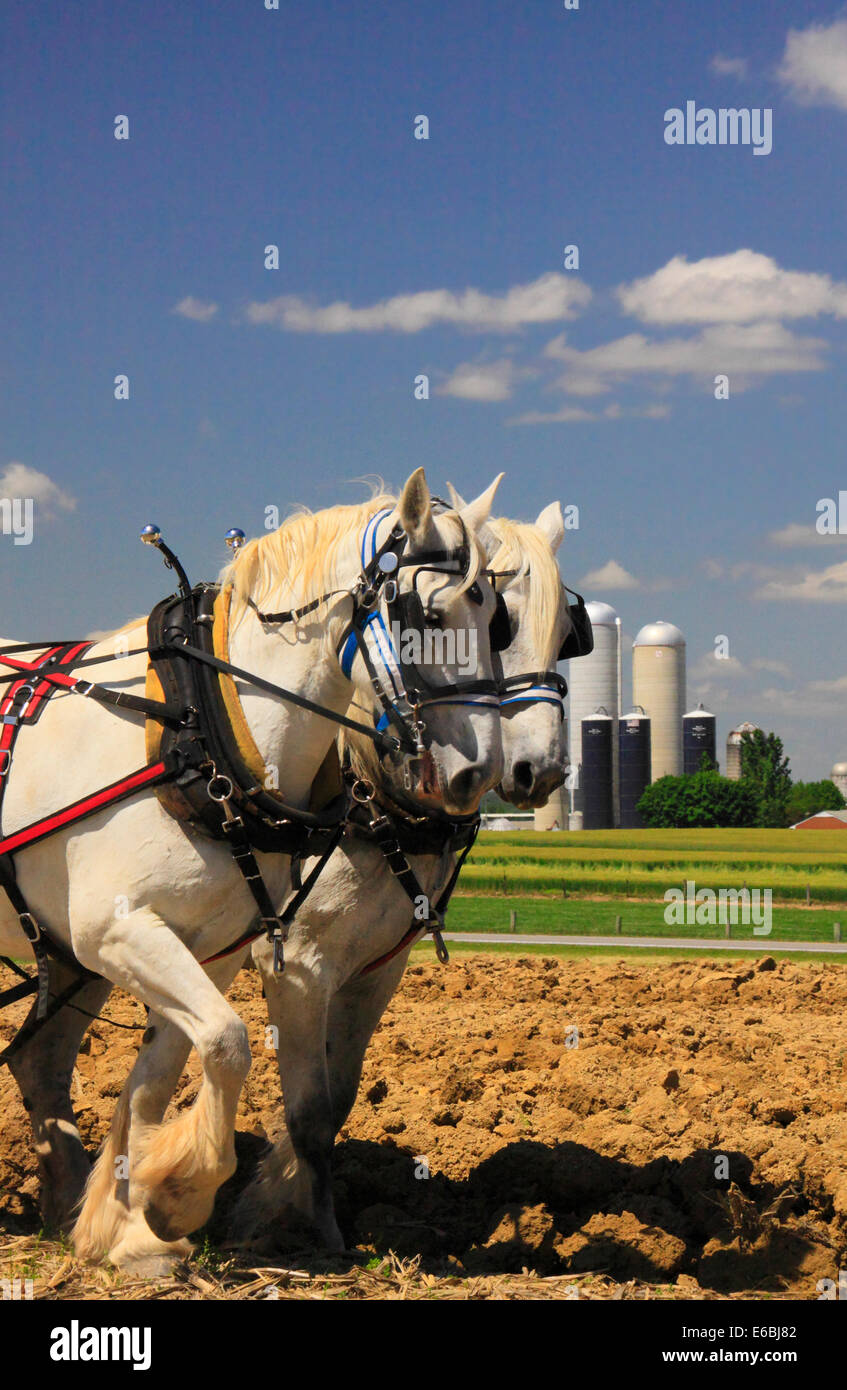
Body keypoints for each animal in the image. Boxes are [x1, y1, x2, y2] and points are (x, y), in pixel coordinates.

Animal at [0, 468, 506, 1268]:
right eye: (425, 612)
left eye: (495, 617)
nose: (474, 773)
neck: (200, 728)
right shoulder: (119, 933)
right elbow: (229, 1045)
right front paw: (178, 1197)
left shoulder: (213, 949)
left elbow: (160, 1080)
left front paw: (130, 1226)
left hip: (68, 959)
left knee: (39, 1060)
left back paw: (63, 1205)